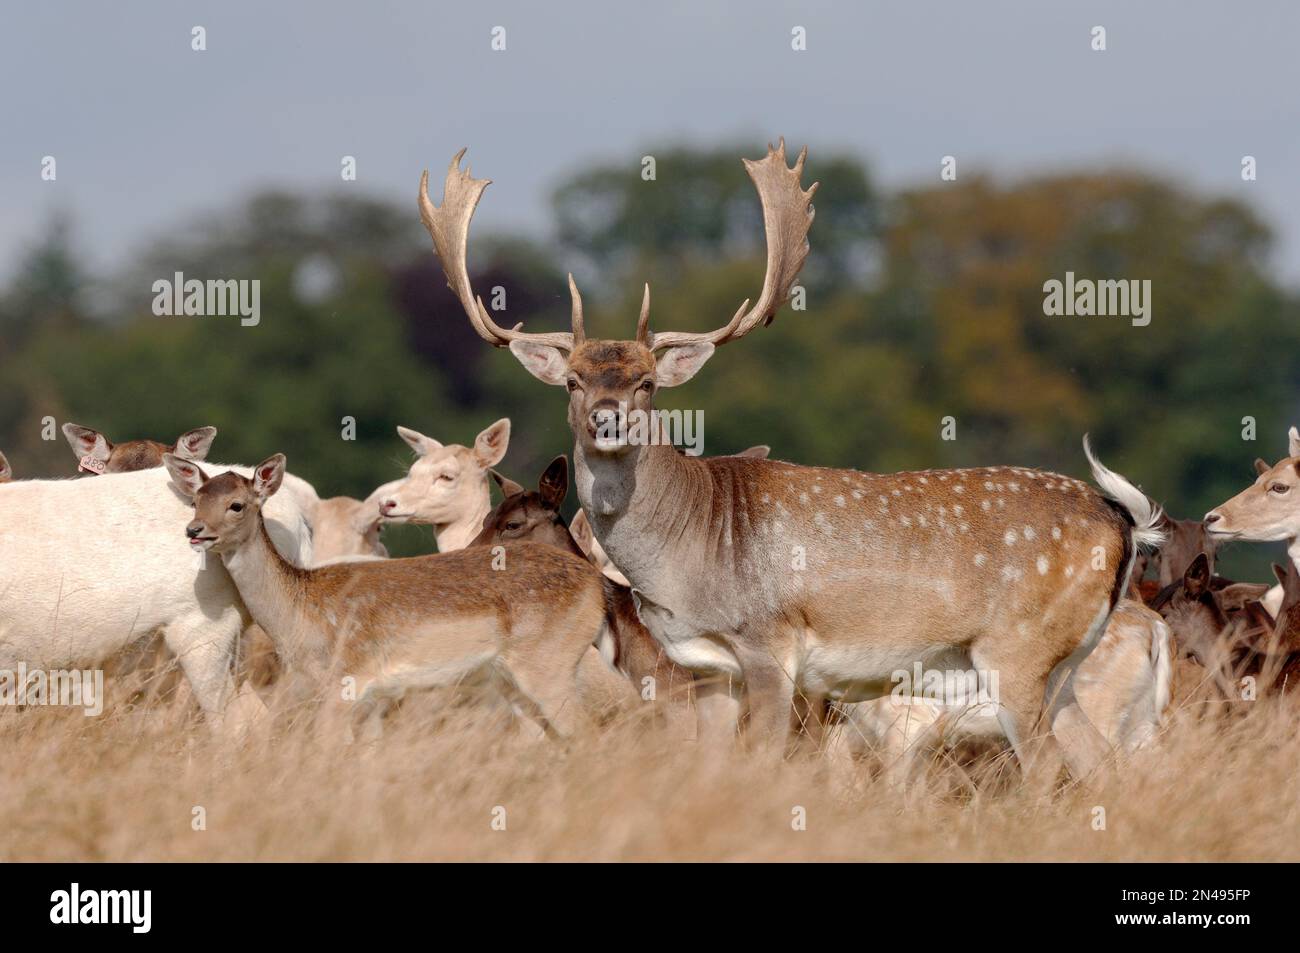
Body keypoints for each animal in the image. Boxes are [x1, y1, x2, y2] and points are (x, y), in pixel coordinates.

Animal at [162, 452, 608, 739]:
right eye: (196, 500)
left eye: (237, 504)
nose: (195, 530)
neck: (300, 615)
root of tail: (597, 588)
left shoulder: (345, 684)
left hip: (549, 665)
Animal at [417, 143, 1165, 779]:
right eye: (572, 380)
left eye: (647, 383)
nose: (607, 415)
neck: (689, 553)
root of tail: (1122, 521)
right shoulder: (707, 669)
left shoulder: (770, 646)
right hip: (1063, 670)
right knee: (1102, 765)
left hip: (1019, 651)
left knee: (1048, 769)